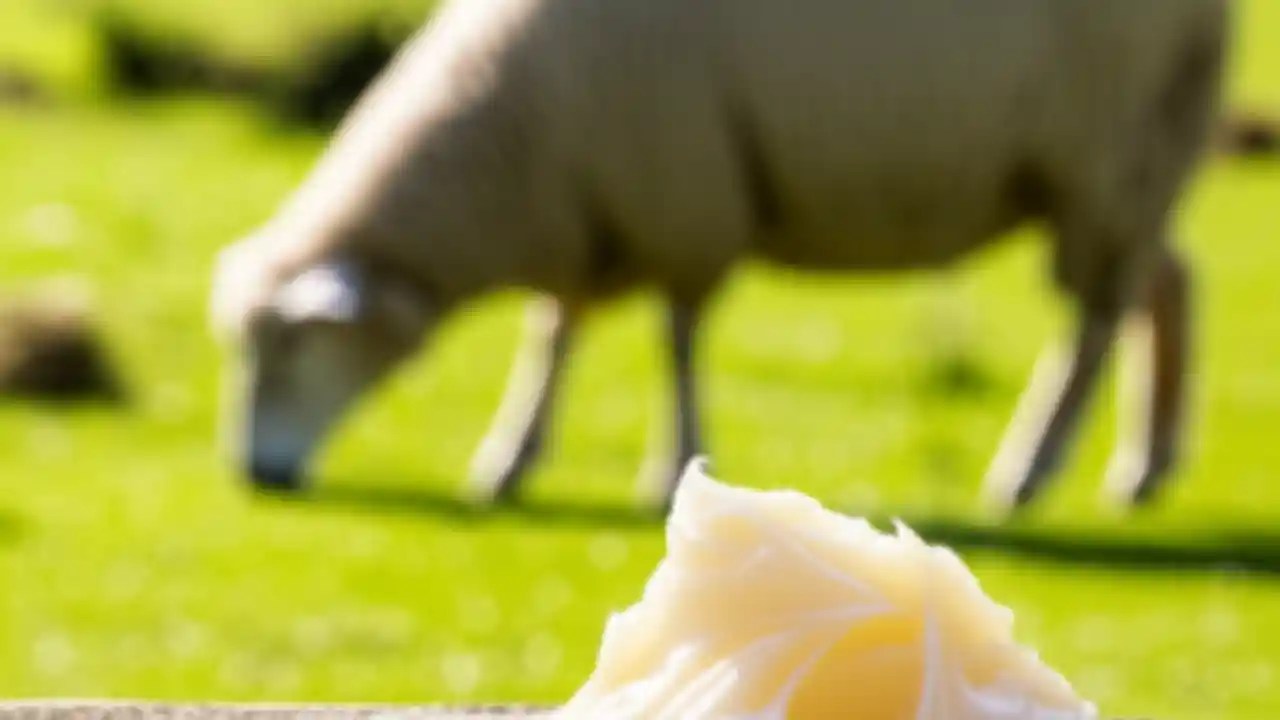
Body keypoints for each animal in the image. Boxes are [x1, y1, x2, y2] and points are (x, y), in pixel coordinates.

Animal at [212, 0, 1230, 511]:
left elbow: (677, 337)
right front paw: (508, 460)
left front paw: (673, 468)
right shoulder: (590, 208)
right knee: (1167, 280)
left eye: (295, 349)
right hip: (1123, 163)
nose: (255, 474)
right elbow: (556, 333)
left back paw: (1030, 473)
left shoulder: (681, 196)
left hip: (1111, 148)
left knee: (1097, 315)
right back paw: (1146, 467)